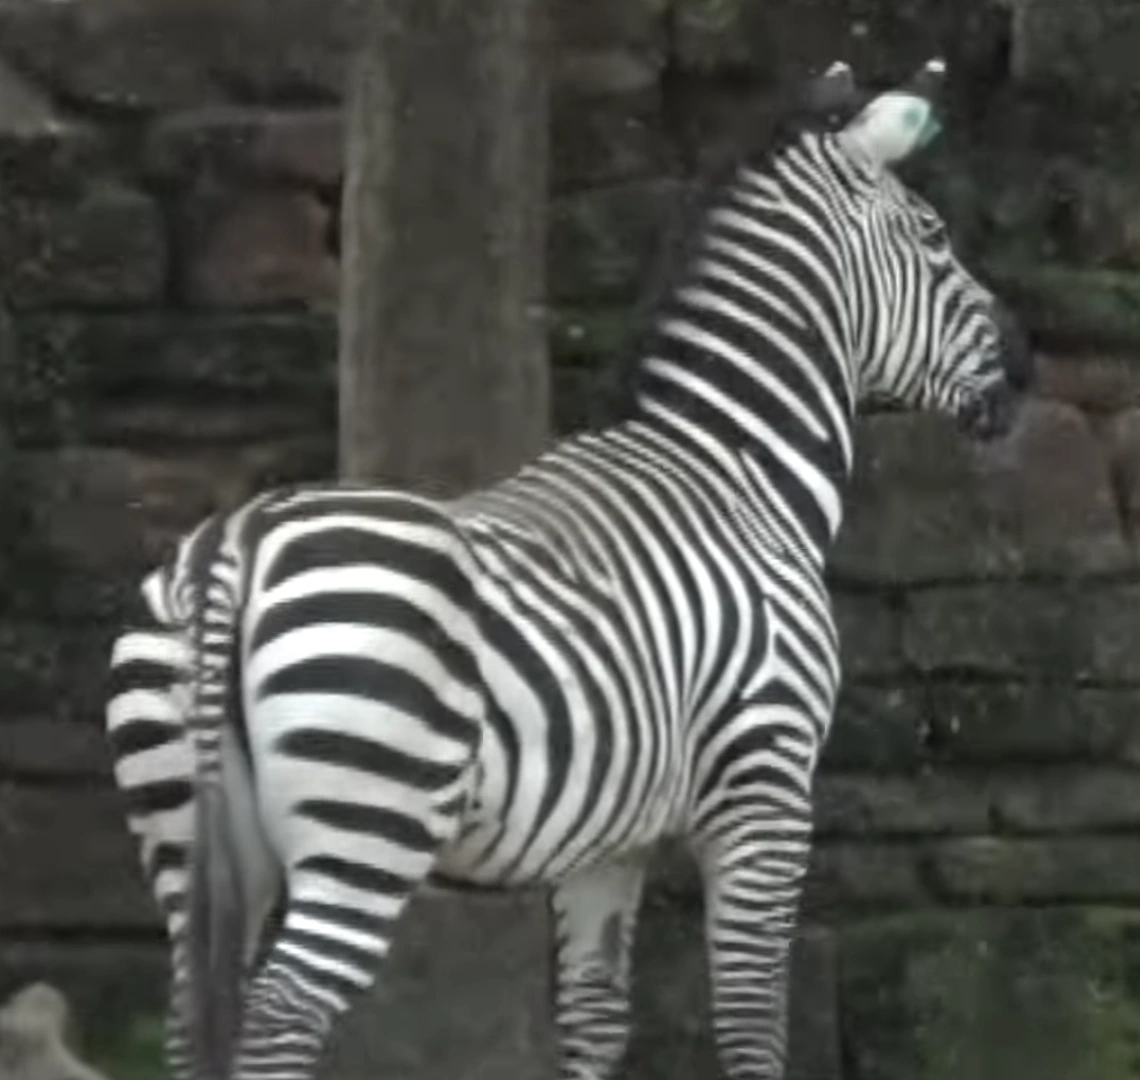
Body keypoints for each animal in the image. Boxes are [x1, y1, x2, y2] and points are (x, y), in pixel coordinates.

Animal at [104, 58, 1031, 1080]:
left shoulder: (605, 841)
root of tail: (235, 543)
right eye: (934, 238)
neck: (738, 466)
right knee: (282, 1015)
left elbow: (595, 1018)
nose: (1027, 366)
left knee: (195, 1017)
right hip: (368, 825)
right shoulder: (767, 785)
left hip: (185, 833)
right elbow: (751, 1020)